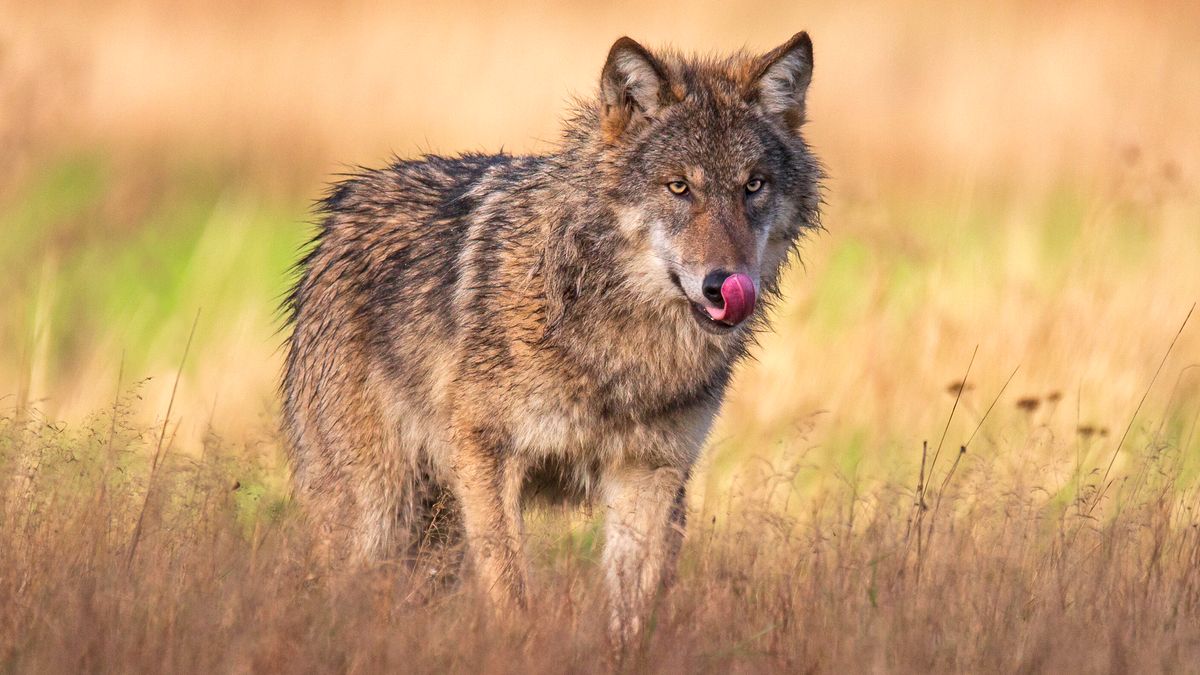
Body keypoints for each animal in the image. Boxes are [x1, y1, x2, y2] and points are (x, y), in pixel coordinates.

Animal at [282, 32, 821, 639]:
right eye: (679, 187)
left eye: (753, 186)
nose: (725, 285)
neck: (621, 341)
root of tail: (339, 211)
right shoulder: (488, 455)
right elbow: (511, 591)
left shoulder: (650, 476)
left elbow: (632, 614)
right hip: (377, 513)